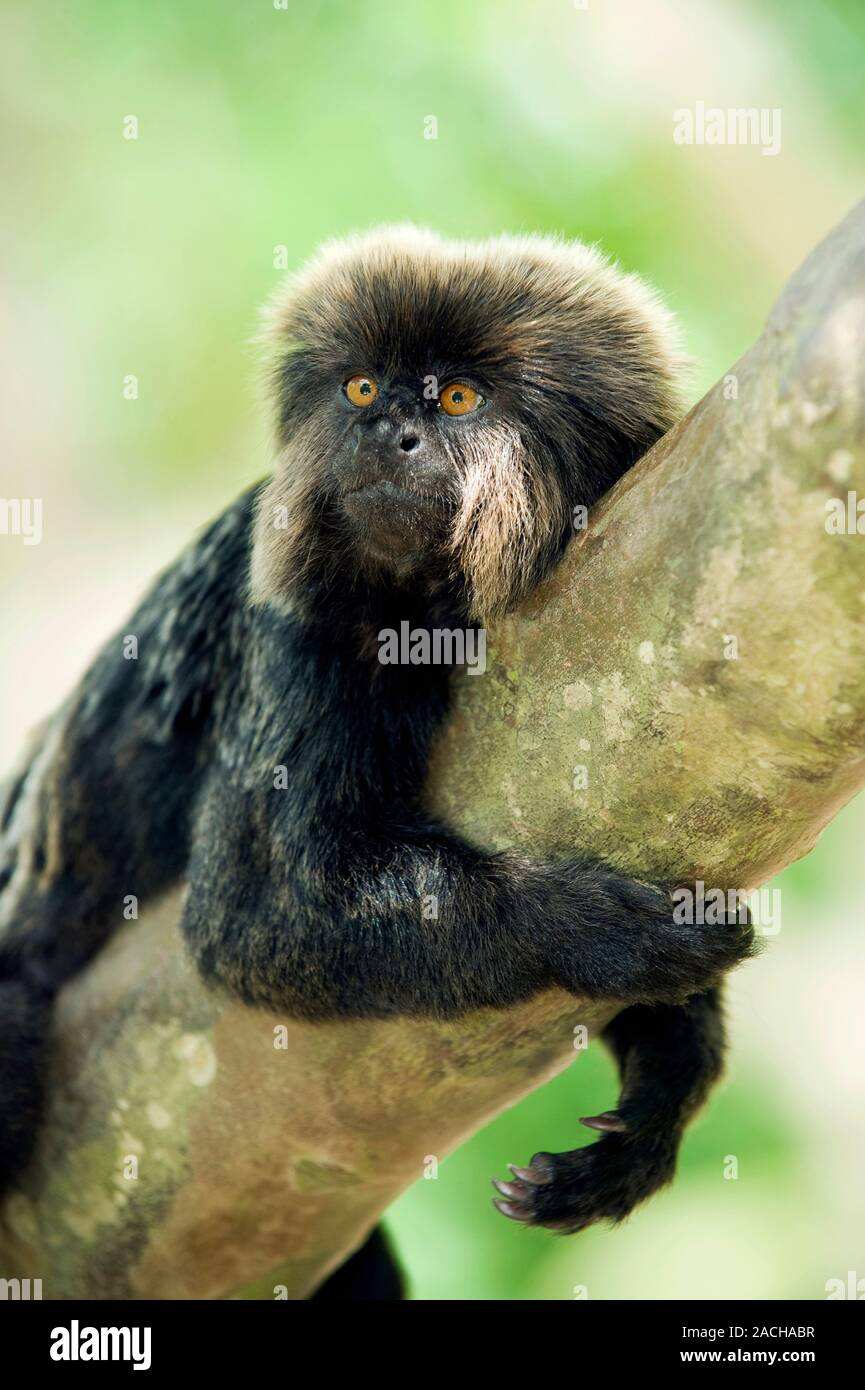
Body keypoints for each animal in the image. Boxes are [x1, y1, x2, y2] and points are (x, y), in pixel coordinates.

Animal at [0, 226, 754, 1298]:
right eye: (361, 390)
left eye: (456, 399)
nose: (385, 432)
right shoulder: (289, 632)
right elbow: (255, 919)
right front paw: (596, 930)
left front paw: (663, 1092)